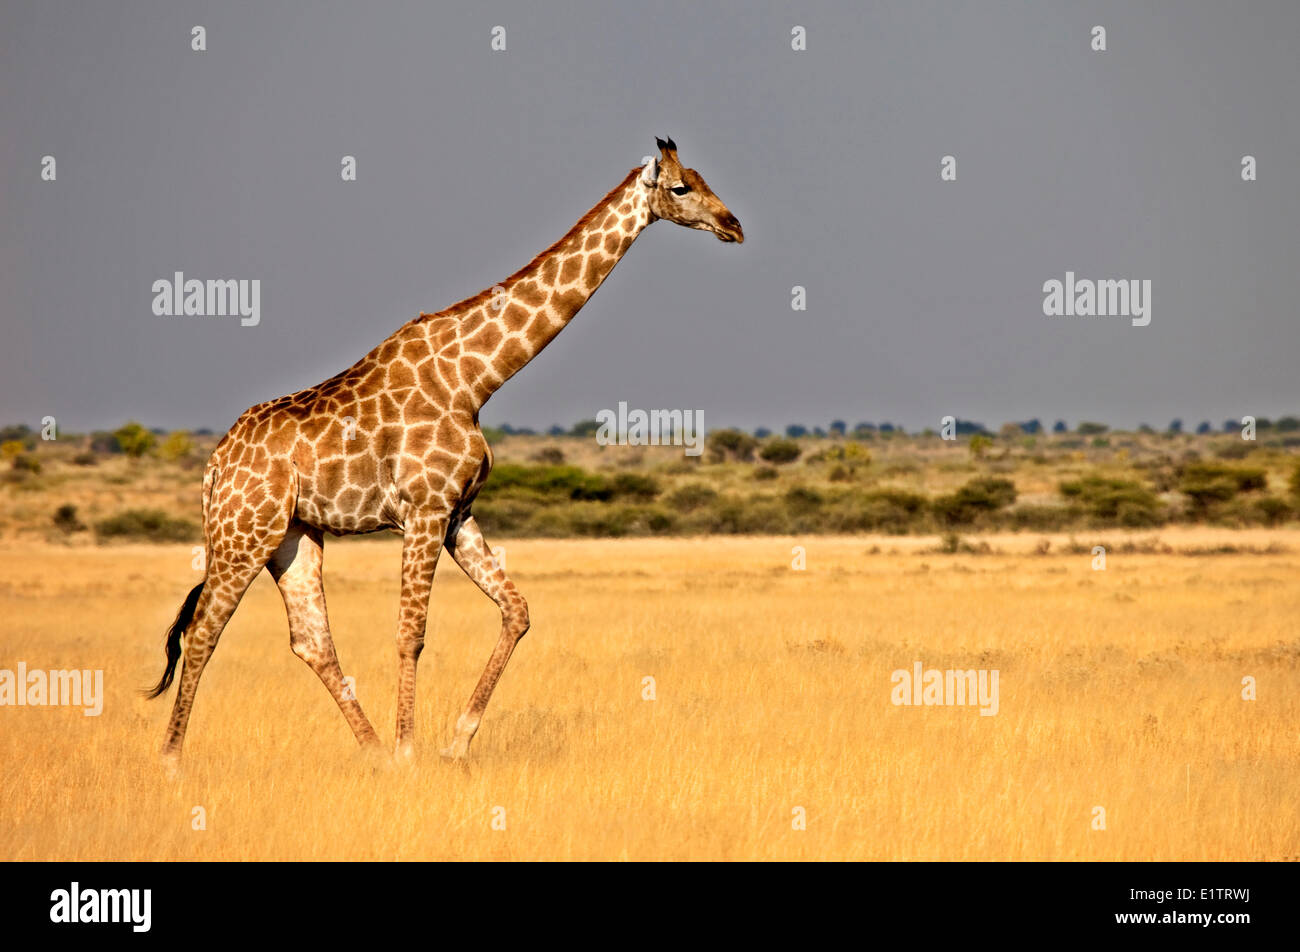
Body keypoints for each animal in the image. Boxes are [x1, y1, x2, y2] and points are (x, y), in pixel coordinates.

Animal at [145, 137, 743, 769]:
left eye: (701, 179)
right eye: (681, 187)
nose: (733, 225)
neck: (475, 379)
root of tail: (214, 466)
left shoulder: (459, 512)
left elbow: (516, 610)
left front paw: (455, 742)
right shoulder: (424, 509)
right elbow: (411, 632)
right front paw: (412, 751)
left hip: (293, 535)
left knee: (311, 640)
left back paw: (373, 754)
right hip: (244, 532)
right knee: (204, 631)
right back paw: (173, 761)